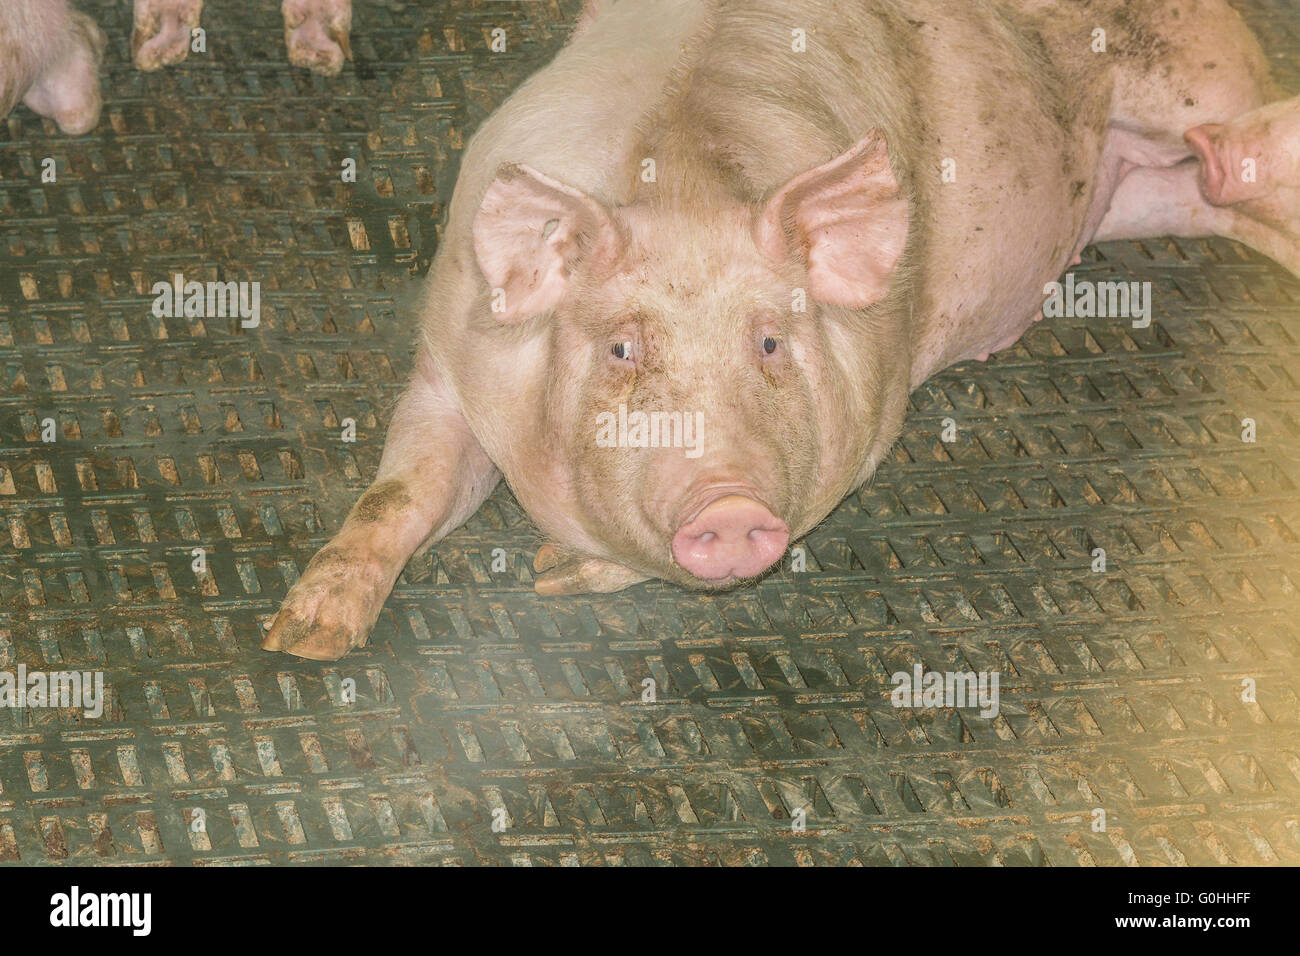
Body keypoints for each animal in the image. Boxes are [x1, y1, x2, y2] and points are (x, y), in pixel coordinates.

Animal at [264, 0, 1300, 661]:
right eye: (621, 349)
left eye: (768, 342)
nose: (724, 503)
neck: (683, 189)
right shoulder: (450, 358)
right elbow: (400, 493)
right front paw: (303, 637)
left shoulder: (868, 419)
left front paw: (550, 575)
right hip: (1143, 191)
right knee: (1212, 204)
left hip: (1196, 82)